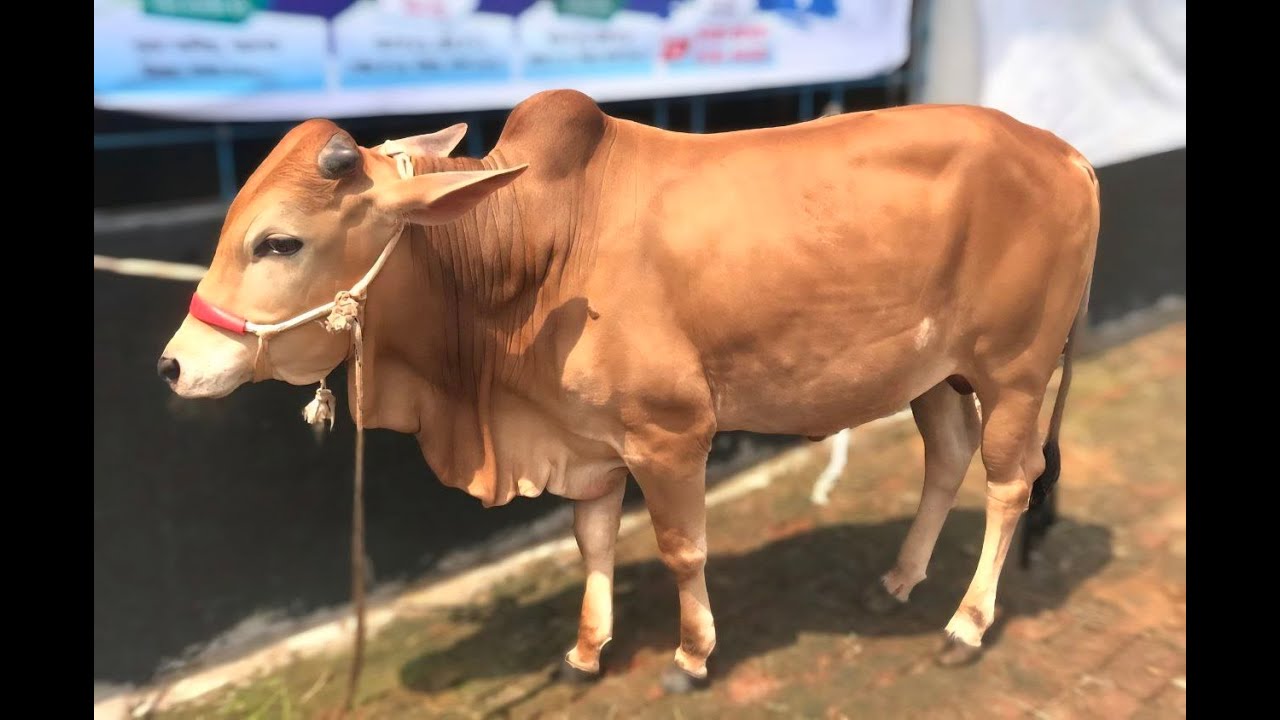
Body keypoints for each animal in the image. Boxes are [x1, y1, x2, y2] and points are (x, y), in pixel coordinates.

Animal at [158, 89, 1098, 691]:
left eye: (278, 242)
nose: (173, 364)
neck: (532, 253)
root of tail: (1064, 150)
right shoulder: (588, 440)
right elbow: (594, 541)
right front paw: (585, 652)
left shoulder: (671, 435)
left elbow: (681, 548)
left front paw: (691, 657)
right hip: (932, 372)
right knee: (946, 457)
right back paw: (898, 581)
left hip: (1015, 371)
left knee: (1009, 483)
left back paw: (966, 625)